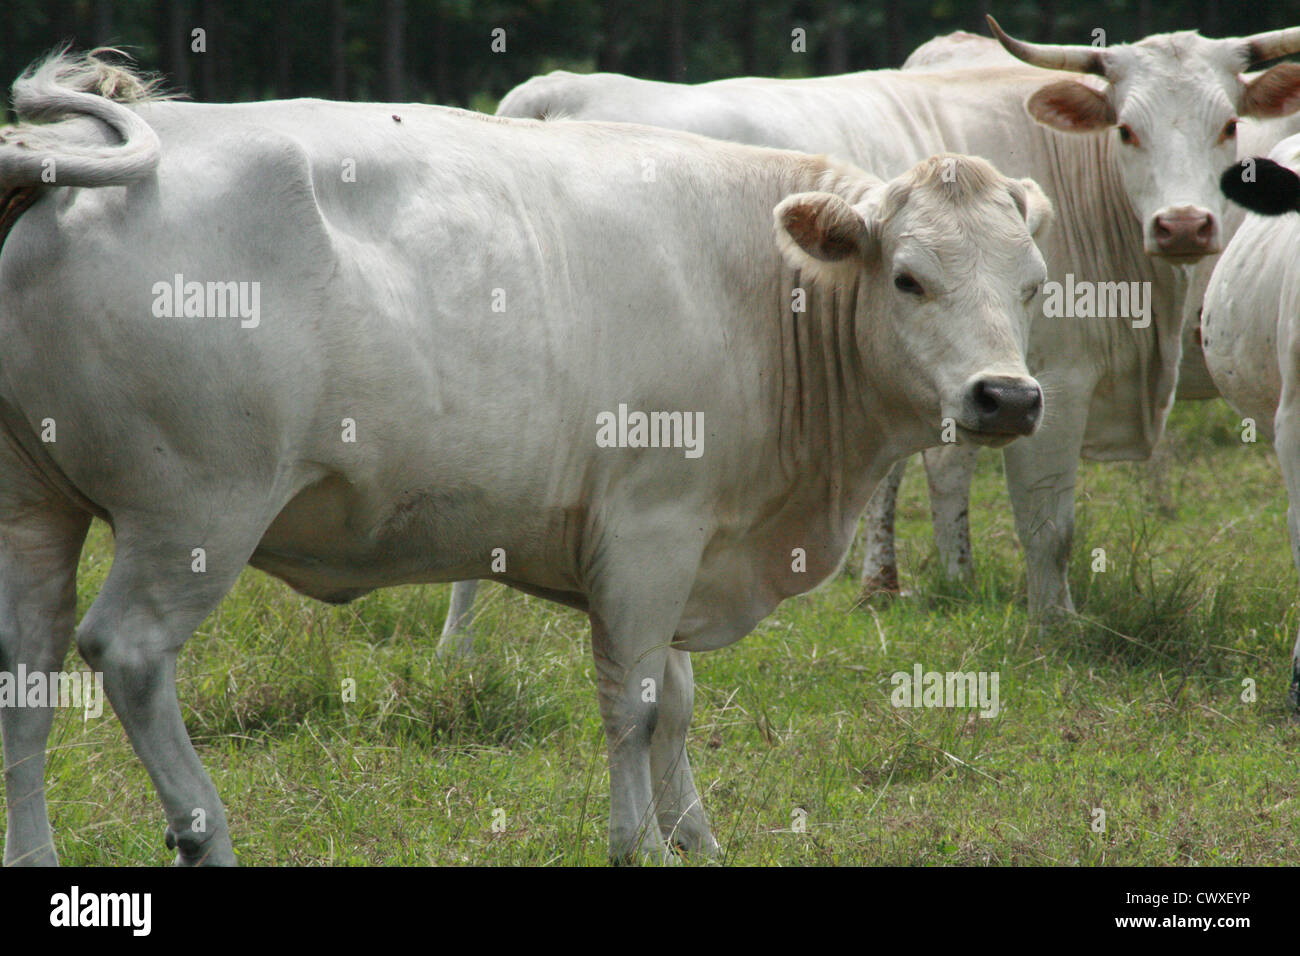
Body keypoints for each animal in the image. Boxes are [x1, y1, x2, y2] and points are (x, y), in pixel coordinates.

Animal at [0, 50, 1045, 868]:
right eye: (908, 279)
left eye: (1034, 285)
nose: (1008, 396)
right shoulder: (649, 533)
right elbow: (636, 705)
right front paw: (636, 845)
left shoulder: (686, 542)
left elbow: (679, 703)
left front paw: (696, 839)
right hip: (197, 514)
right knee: (129, 655)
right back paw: (205, 833)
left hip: (36, 510)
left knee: (29, 672)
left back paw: (37, 854)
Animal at [431, 16, 1300, 642]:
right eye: (1126, 129)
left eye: (1229, 126)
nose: (1183, 225)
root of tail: (553, 91)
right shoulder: (1051, 381)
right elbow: (1046, 523)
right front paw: (1056, 625)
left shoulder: (977, 378)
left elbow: (944, 472)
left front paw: (945, 581)